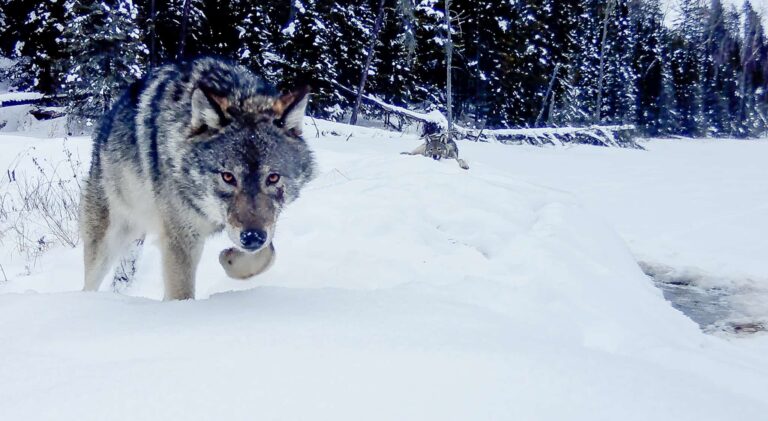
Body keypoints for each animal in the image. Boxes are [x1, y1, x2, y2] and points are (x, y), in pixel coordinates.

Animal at [80, 57, 316, 300]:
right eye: (228, 177)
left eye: (273, 177)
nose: (251, 237)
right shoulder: (181, 237)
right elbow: (181, 293)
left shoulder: (266, 223)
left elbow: (268, 253)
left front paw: (230, 259)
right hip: (110, 236)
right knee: (89, 281)